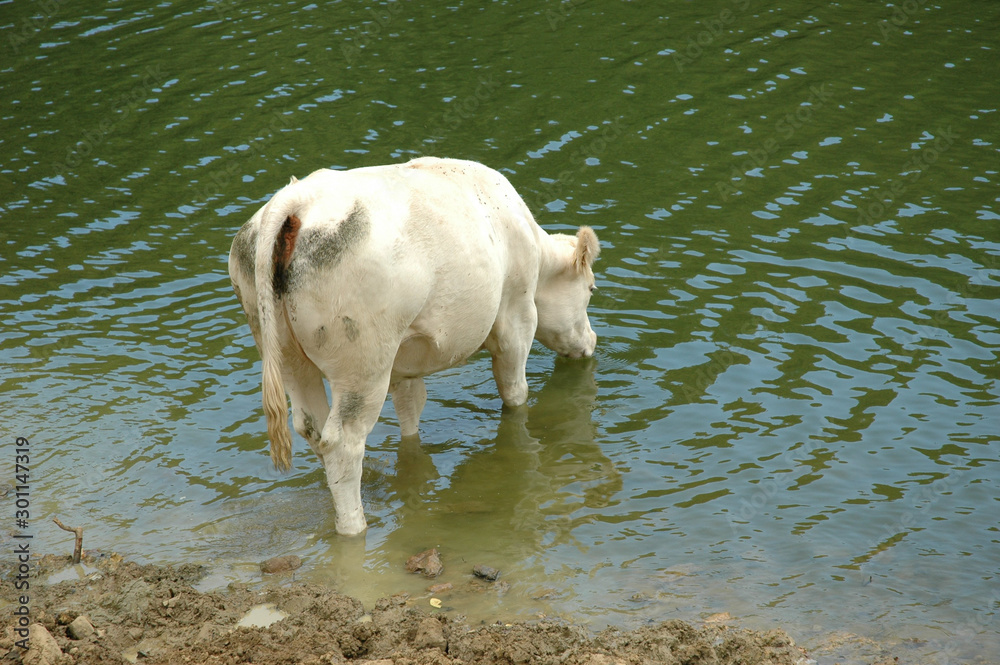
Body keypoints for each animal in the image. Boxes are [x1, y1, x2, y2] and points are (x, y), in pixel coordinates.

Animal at [228, 157, 600, 535]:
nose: (591, 341)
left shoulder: (403, 360)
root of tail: (296, 199)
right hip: (363, 361)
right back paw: (354, 525)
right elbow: (514, 390)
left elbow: (411, 407)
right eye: (591, 289)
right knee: (343, 442)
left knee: (311, 426)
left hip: (287, 352)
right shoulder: (517, 317)